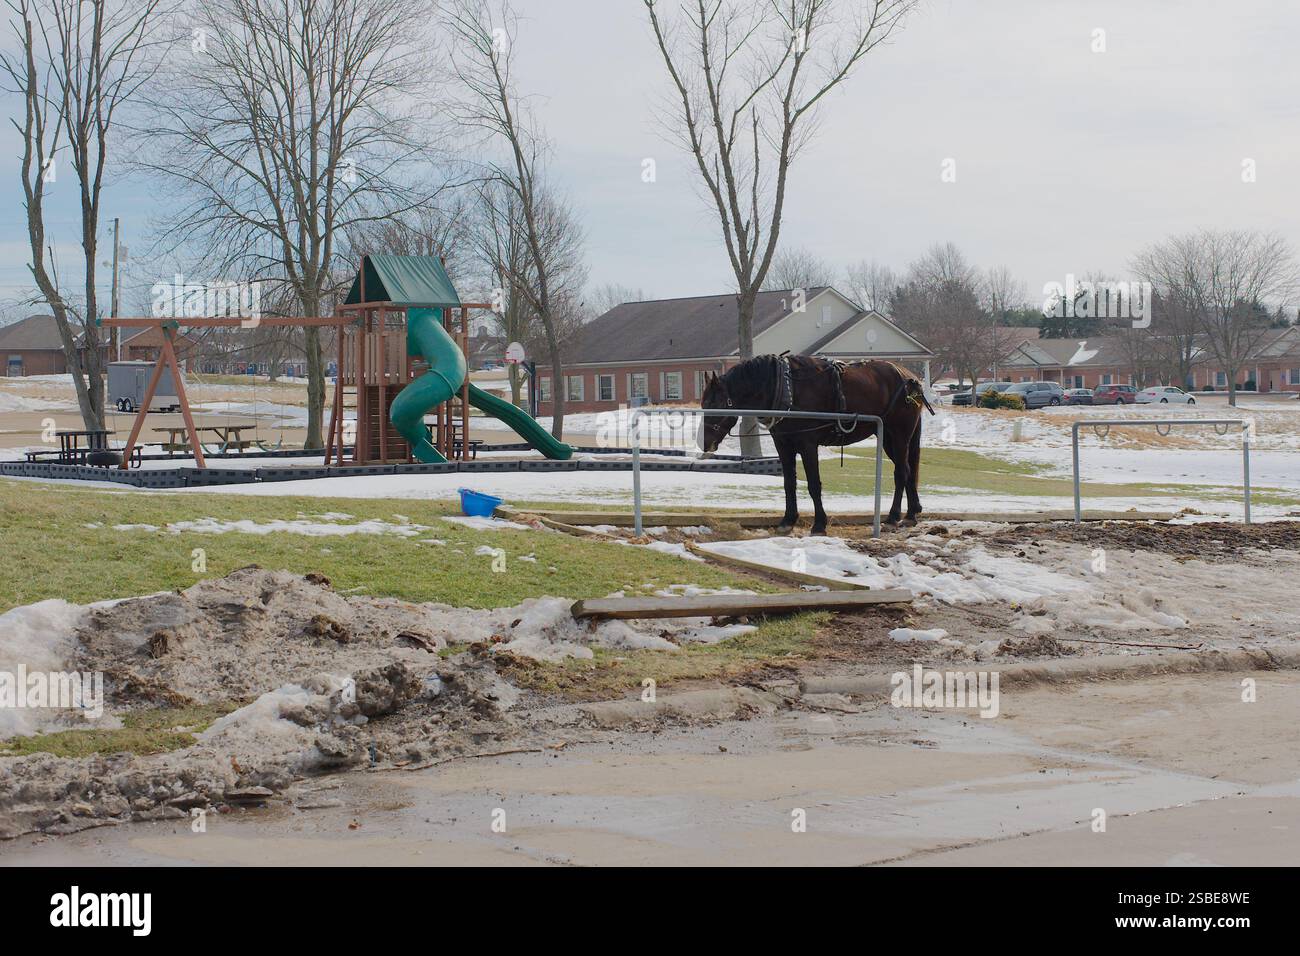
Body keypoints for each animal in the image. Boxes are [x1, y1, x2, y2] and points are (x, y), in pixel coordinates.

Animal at [700, 354, 935, 535]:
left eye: (715, 403)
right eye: (703, 404)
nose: (704, 443)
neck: (787, 388)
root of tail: (910, 378)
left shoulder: (808, 444)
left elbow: (814, 484)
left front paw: (819, 524)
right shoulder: (783, 444)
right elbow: (789, 483)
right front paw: (788, 520)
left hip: (900, 435)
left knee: (901, 472)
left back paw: (894, 517)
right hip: (888, 439)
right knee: (908, 471)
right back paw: (911, 513)